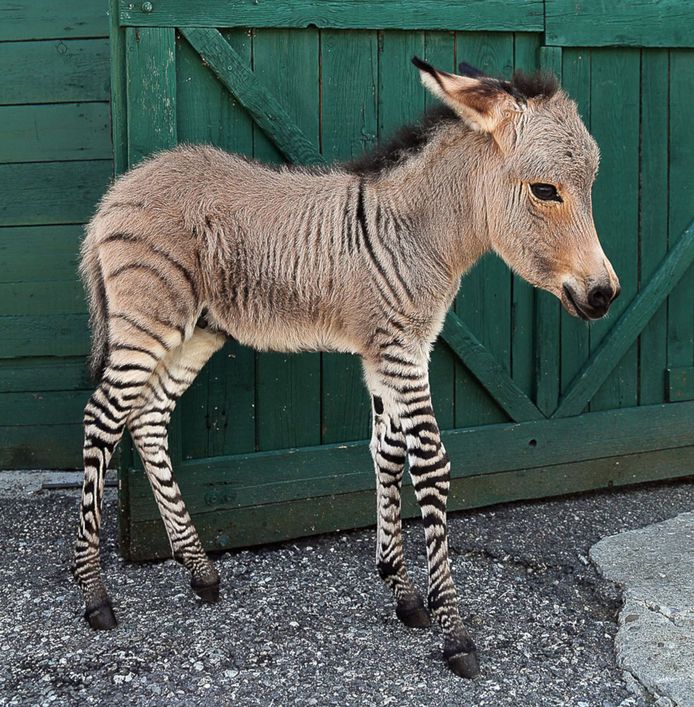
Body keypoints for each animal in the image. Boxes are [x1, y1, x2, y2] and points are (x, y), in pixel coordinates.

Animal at [74, 57, 619, 678]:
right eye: (545, 191)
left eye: (589, 187)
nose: (604, 296)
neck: (418, 234)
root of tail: (119, 189)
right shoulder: (401, 349)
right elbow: (430, 464)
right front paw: (453, 632)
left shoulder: (390, 352)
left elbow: (386, 452)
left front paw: (402, 592)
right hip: (149, 321)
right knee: (102, 419)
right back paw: (95, 597)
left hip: (197, 331)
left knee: (146, 420)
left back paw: (201, 573)